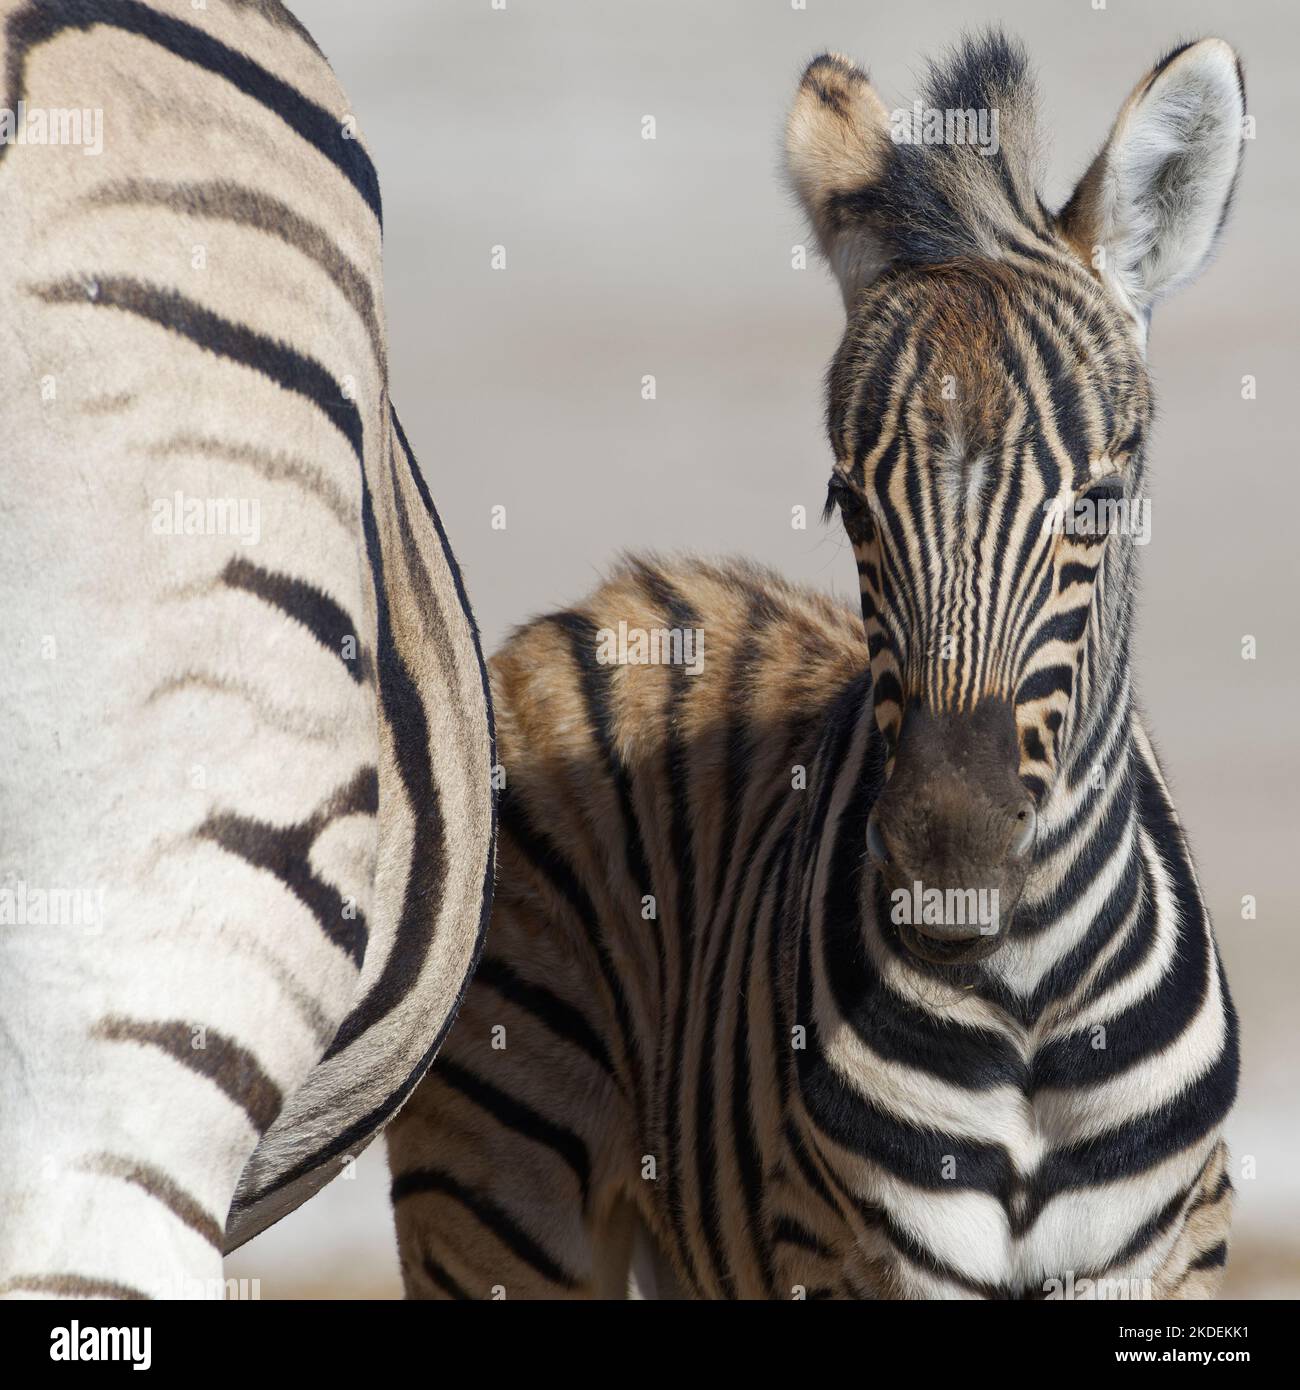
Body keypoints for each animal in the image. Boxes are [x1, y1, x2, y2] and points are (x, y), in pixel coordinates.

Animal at [386, 32, 1244, 1300]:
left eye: (1097, 499)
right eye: (847, 500)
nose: (948, 857)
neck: (1030, 1004)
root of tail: (617, 598)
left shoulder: (1176, 1253)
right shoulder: (845, 1254)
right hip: (499, 1191)